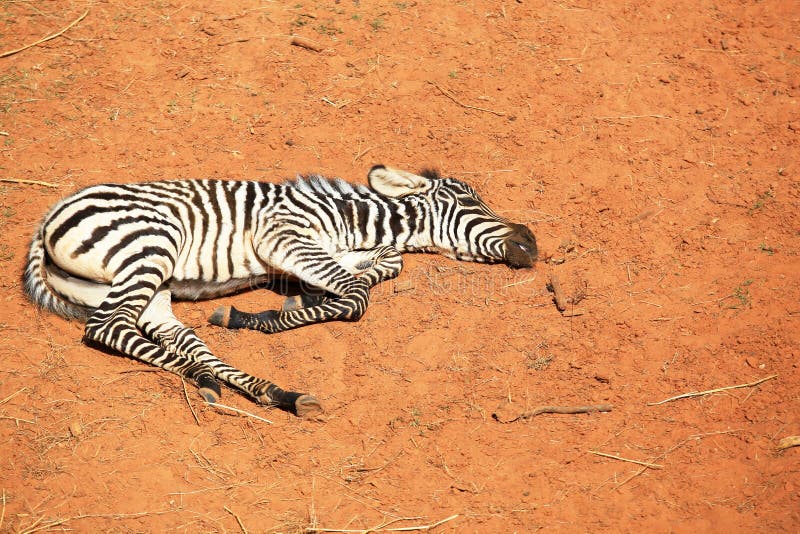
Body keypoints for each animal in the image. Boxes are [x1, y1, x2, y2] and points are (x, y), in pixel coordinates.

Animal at [23, 165, 538, 418]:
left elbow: (387, 263)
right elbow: (356, 295)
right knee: (105, 328)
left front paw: (300, 299)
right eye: (469, 199)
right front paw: (279, 315)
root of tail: (48, 218)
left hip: (146, 286)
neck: (348, 220)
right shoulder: (282, 237)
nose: (531, 242)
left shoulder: (317, 250)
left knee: (177, 340)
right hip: (151, 248)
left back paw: (265, 389)